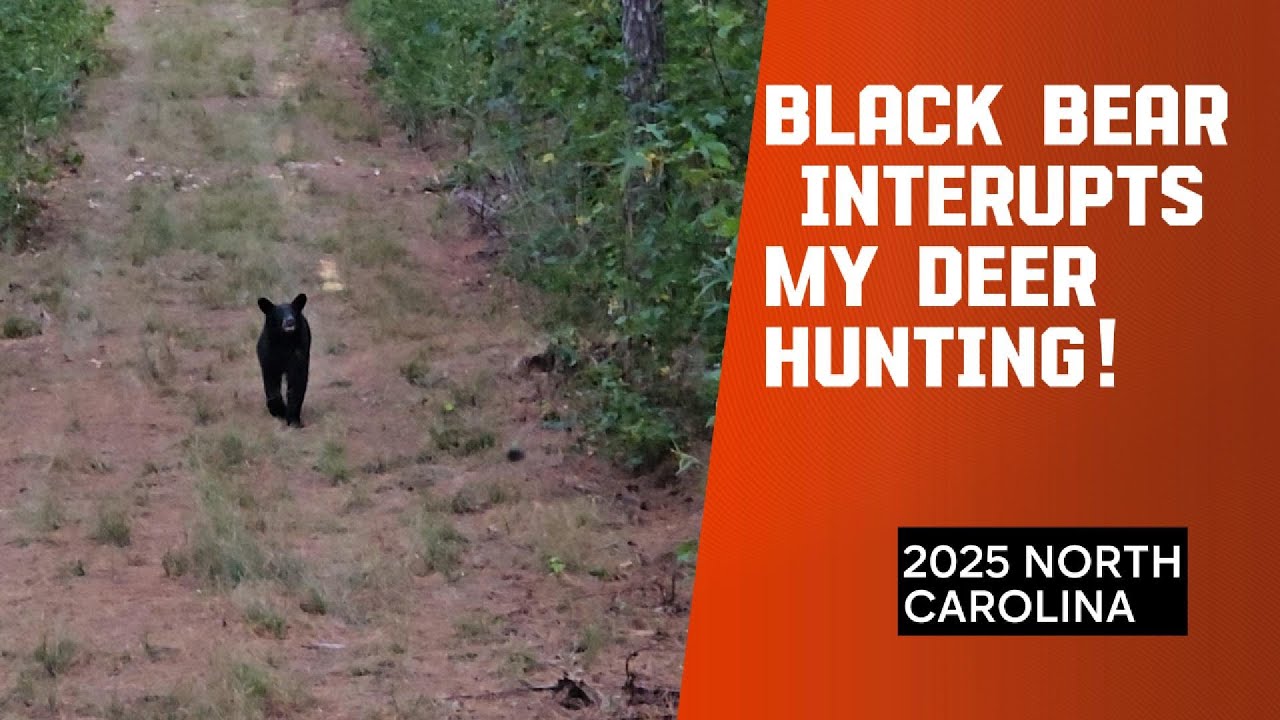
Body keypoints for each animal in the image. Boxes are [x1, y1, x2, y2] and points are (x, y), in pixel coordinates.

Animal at [256, 294, 311, 427]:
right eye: (278, 313)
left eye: (293, 311)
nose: (290, 320)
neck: (284, 341)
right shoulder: (268, 355)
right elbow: (271, 383)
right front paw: (279, 410)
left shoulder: (299, 352)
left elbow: (297, 382)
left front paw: (293, 420)